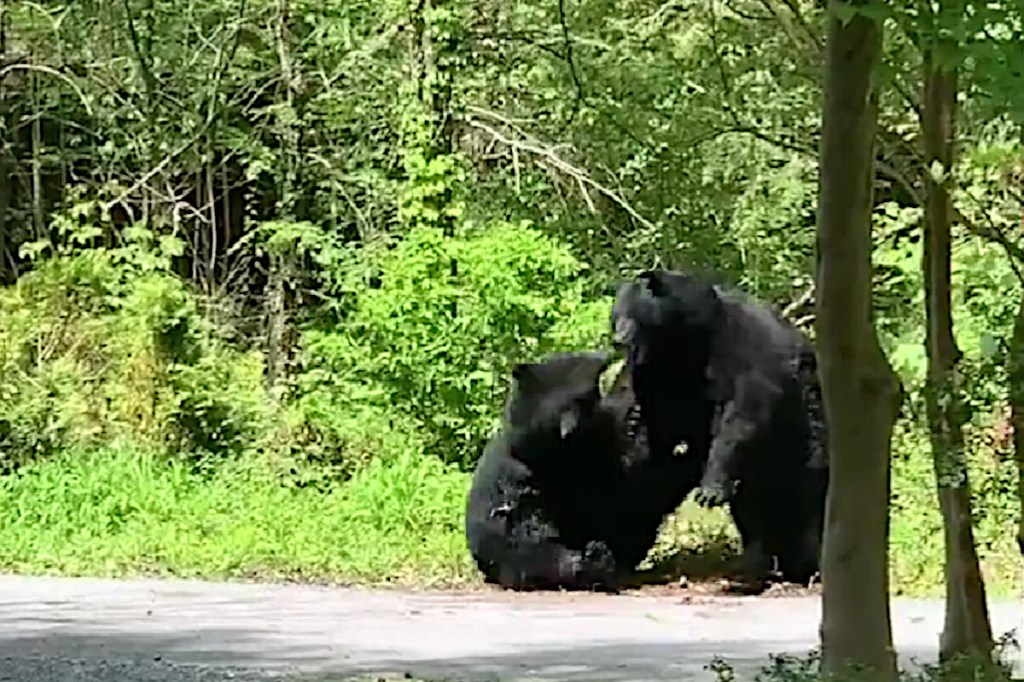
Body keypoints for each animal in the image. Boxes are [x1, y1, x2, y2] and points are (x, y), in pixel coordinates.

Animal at [610, 269, 829, 587]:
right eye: (616, 314)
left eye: (631, 313)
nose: (618, 339)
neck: (685, 341)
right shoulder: (657, 376)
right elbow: (650, 429)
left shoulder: (743, 348)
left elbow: (742, 414)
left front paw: (709, 489)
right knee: (754, 505)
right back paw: (758, 560)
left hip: (811, 423)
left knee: (809, 491)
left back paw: (806, 563)